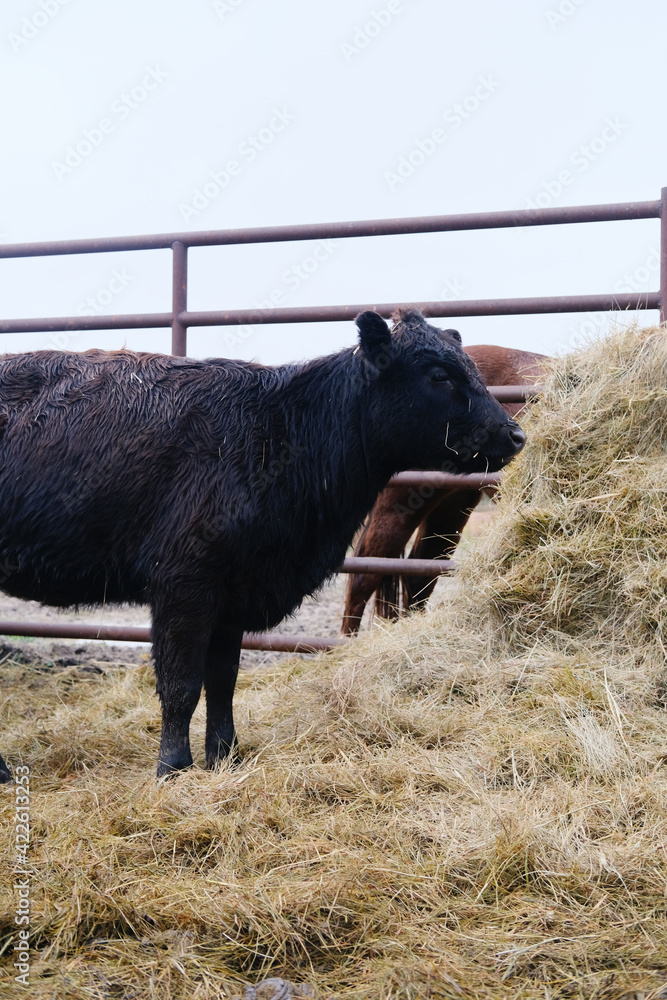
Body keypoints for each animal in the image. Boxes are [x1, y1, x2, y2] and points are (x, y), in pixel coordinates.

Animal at [0, 308, 525, 781]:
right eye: (439, 374)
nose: (515, 433)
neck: (277, 429)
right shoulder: (183, 584)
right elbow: (181, 683)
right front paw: (173, 767)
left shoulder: (235, 591)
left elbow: (223, 680)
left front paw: (225, 756)